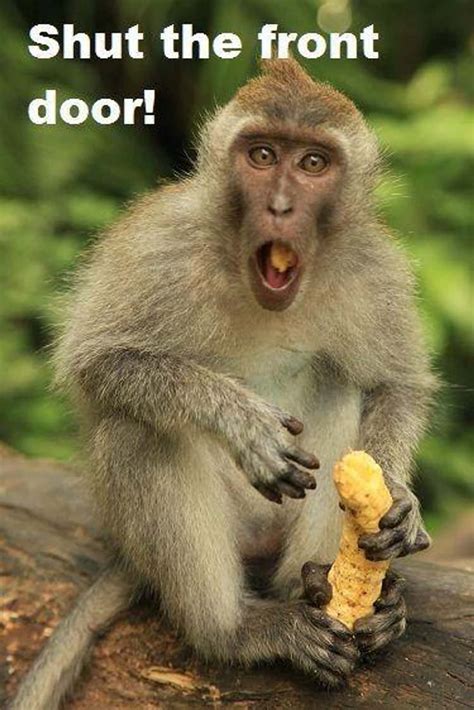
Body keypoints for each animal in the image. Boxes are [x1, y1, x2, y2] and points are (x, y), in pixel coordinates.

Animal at [10, 58, 435, 710]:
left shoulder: (376, 266)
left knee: (339, 384)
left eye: (313, 163)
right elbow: (100, 362)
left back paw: (331, 595)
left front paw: (396, 495)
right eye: (262, 155)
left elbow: (397, 385)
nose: (281, 206)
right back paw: (238, 631)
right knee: (138, 431)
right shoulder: (164, 242)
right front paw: (241, 420)